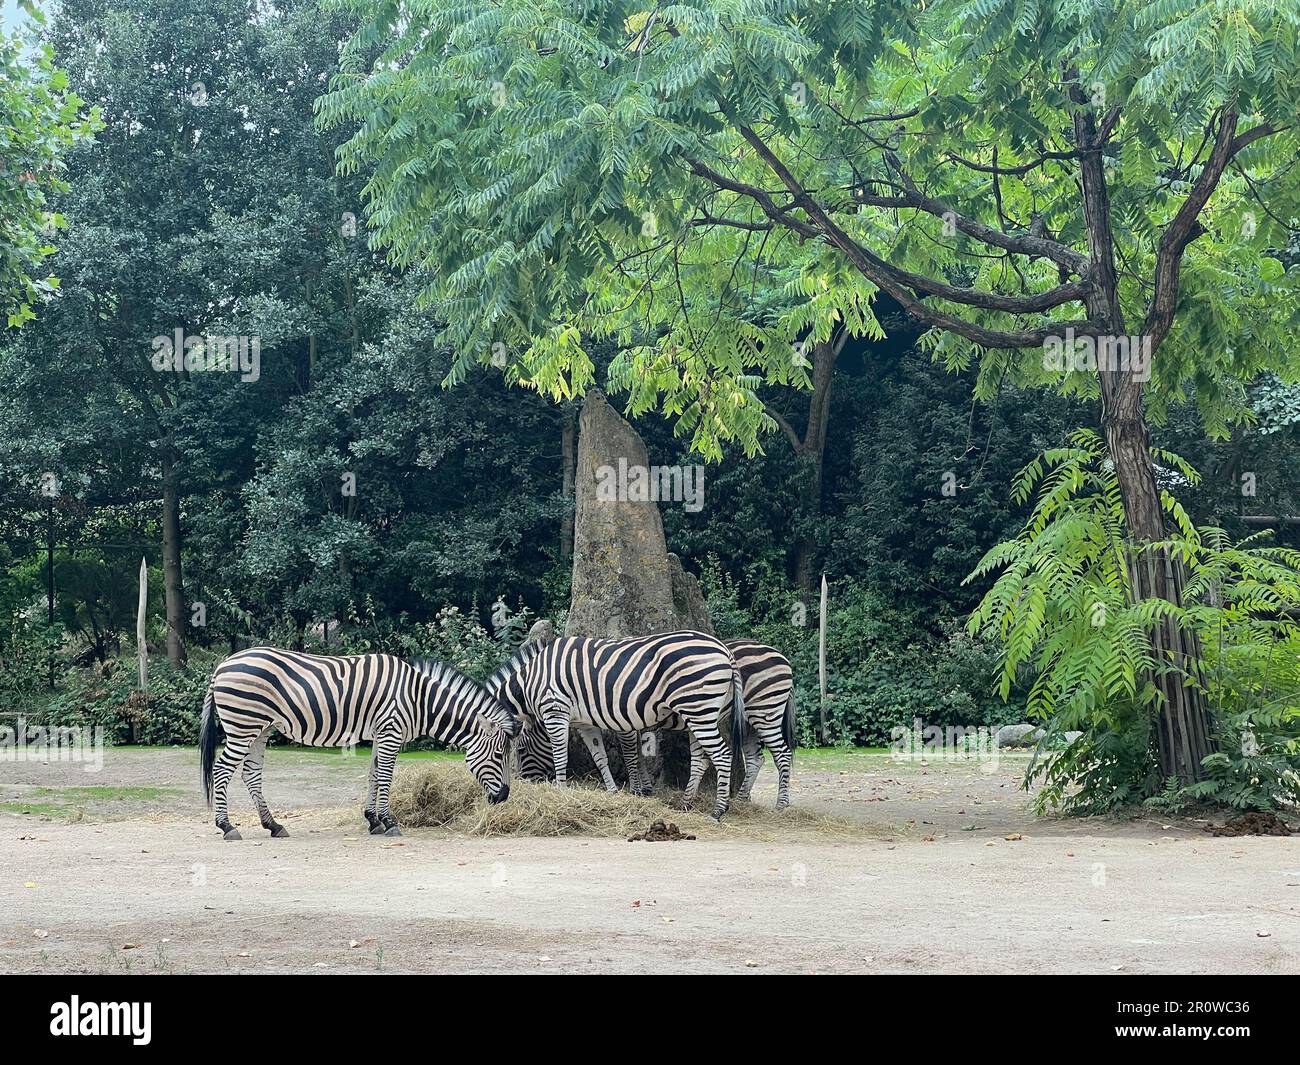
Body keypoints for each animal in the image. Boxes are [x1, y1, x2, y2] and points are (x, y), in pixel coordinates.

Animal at [199, 647, 520, 840]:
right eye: (499, 754)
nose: (504, 796)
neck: (419, 699)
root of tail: (222, 666)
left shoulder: (382, 732)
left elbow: (374, 775)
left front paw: (373, 821)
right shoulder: (391, 730)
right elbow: (386, 777)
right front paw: (390, 822)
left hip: (260, 728)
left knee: (250, 774)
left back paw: (274, 825)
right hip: (243, 725)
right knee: (222, 770)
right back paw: (227, 826)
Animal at [489, 631, 745, 820]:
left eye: (520, 751)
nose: (525, 784)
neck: (530, 683)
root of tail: (725, 650)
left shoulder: (556, 709)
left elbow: (561, 755)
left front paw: (560, 791)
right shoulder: (584, 722)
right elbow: (600, 757)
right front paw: (613, 791)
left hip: (698, 709)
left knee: (722, 755)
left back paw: (718, 810)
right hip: (700, 713)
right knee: (701, 760)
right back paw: (686, 803)